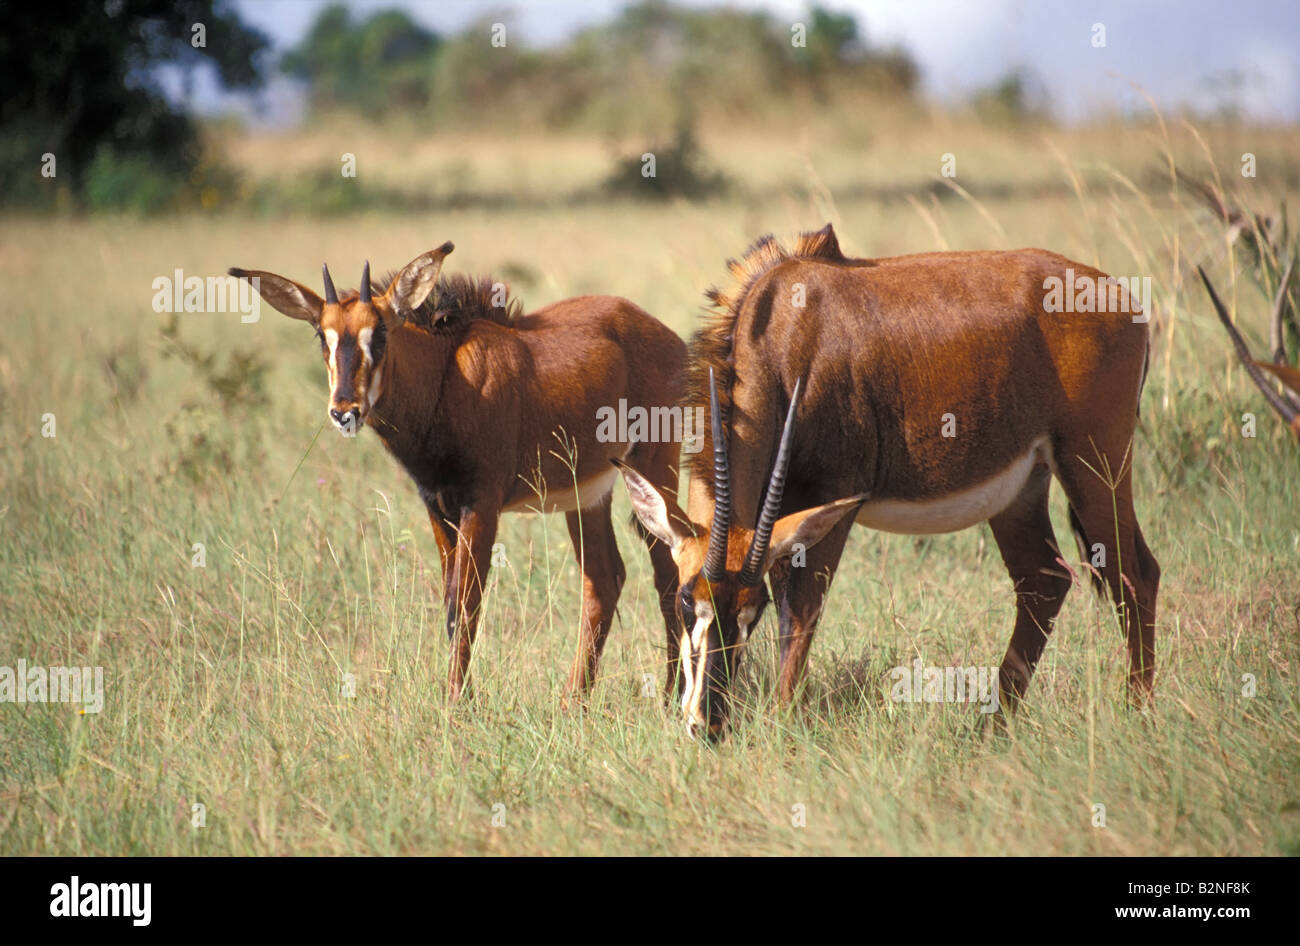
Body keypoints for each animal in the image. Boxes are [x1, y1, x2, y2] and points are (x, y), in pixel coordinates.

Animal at [230, 244, 686, 701]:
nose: (345, 411)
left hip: (654, 468)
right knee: (604, 580)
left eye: (380, 332)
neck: (444, 378)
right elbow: (451, 604)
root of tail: (670, 338)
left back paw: (669, 695)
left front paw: (456, 702)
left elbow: (466, 603)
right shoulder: (438, 507)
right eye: (321, 336)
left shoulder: (481, 504)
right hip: (586, 493)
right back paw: (574, 701)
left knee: (669, 567)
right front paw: (458, 697)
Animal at [615, 224, 1161, 737]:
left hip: (1094, 461)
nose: (706, 725)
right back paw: (988, 727)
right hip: (1022, 489)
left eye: (752, 612)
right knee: (1044, 582)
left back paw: (1136, 712)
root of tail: (1120, 298)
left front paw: (782, 721)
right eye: (687, 600)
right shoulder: (786, 519)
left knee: (1134, 575)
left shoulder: (835, 500)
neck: (786, 335)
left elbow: (801, 611)